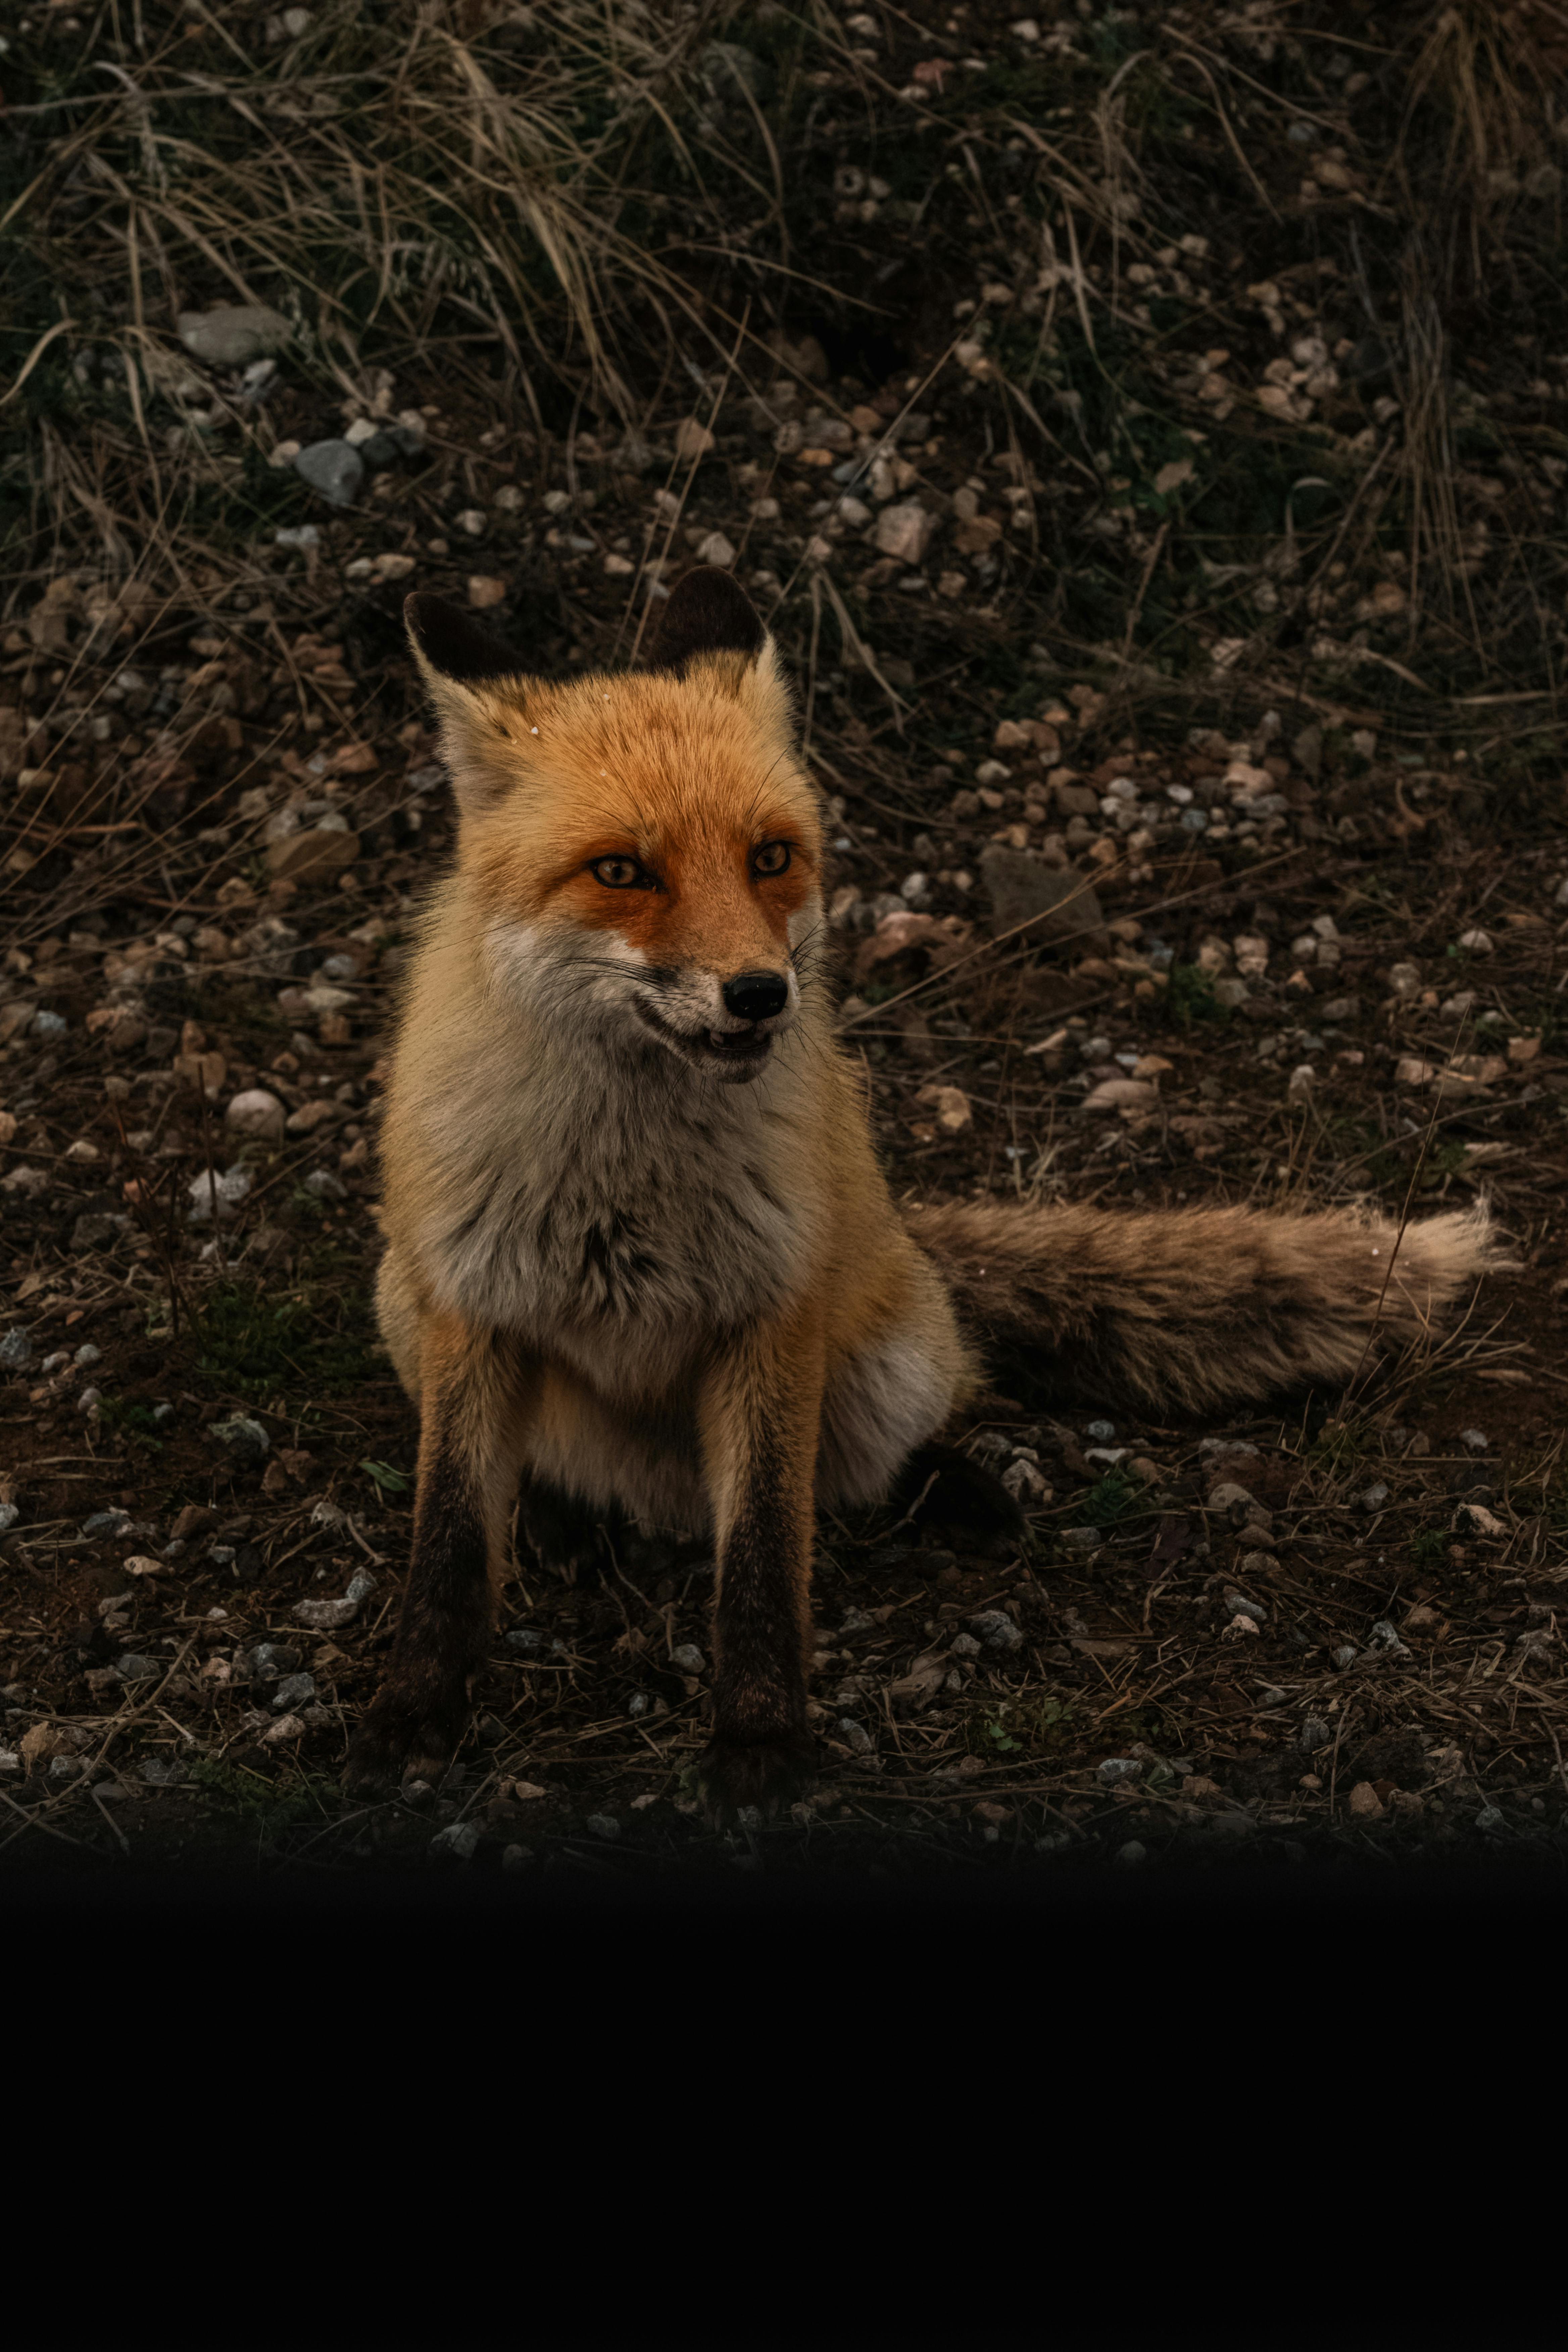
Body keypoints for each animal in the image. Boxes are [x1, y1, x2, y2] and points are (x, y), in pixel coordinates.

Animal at [347, 564, 1495, 1815]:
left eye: (769, 856)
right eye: (621, 871)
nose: (760, 993)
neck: (625, 1175)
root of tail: (661, 1494)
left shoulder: (770, 1318)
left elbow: (767, 1554)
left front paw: (761, 1742)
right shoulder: (470, 1304)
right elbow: (450, 1535)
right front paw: (415, 1708)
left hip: (887, 1360)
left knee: (871, 1465)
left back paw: (957, 1492)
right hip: (400, 1303)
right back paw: (558, 1516)